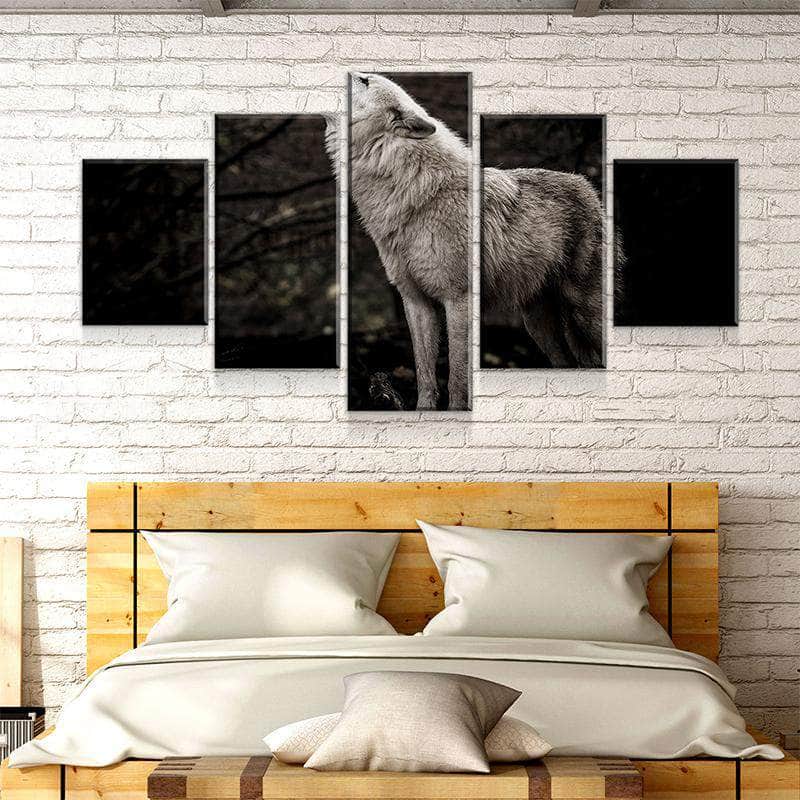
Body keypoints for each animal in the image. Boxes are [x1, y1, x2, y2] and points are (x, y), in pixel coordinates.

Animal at [334, 73, 603, 410]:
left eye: (365, 80)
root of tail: (587, 185)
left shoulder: (458, 299)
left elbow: (457, 376)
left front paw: (455, 410)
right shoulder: (416, 302)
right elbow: (425, 373)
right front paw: (423, 410)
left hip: (584, 316)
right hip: (537, 325)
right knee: (568, 364)